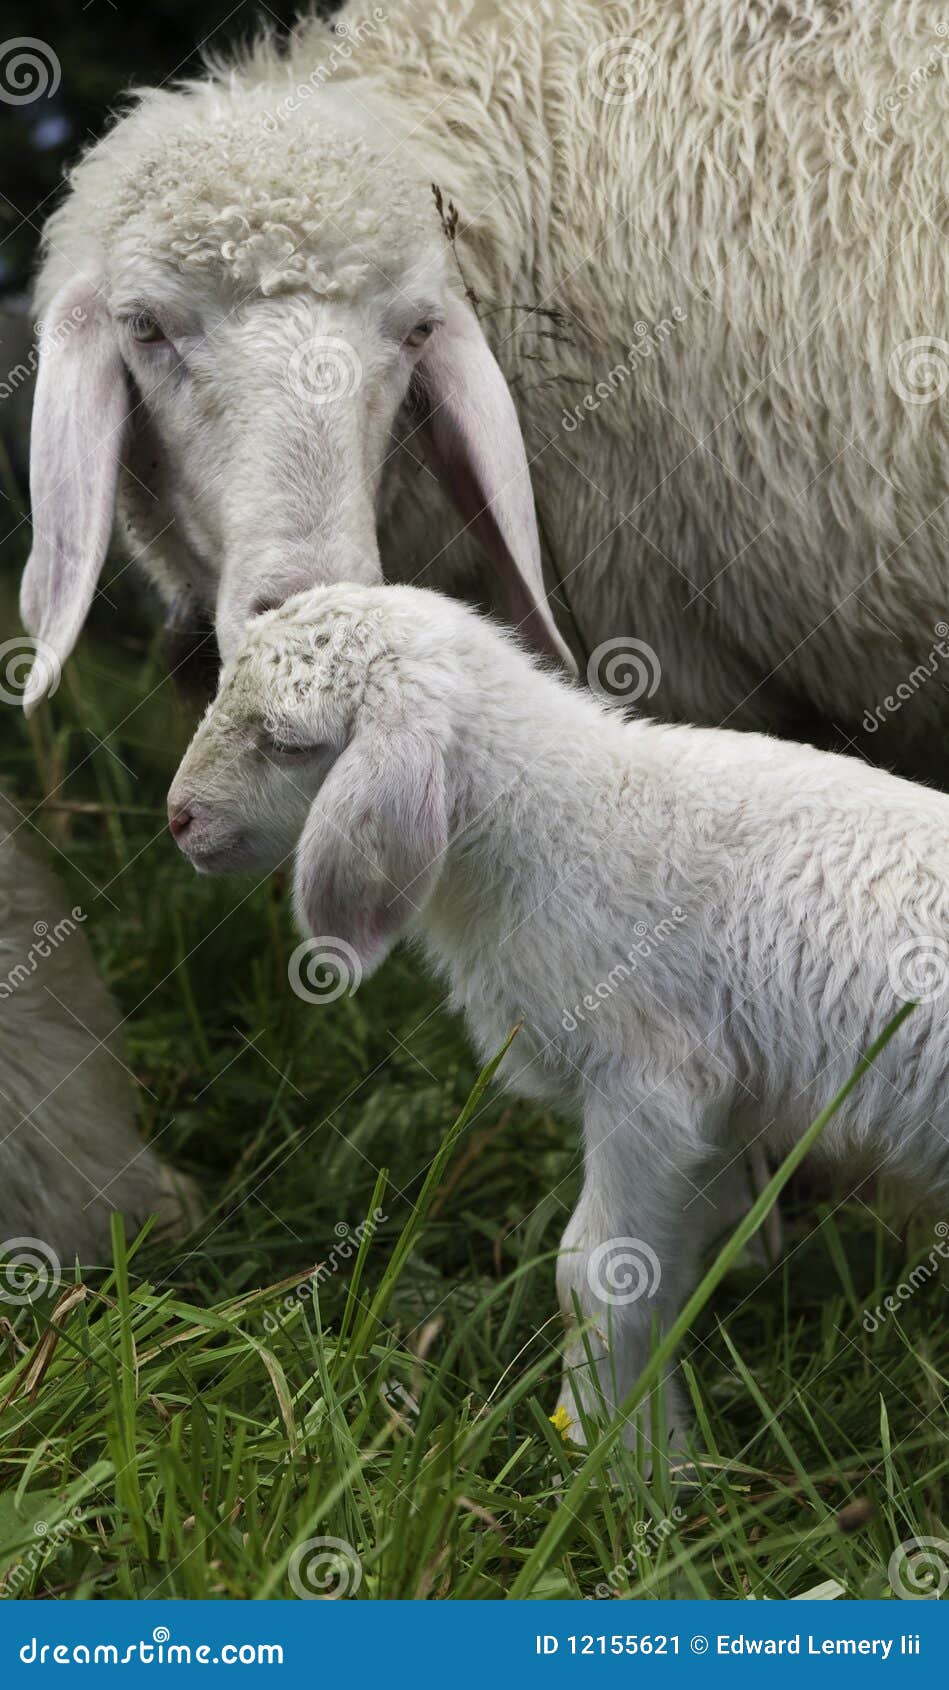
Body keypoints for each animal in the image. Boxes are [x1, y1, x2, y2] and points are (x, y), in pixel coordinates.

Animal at [165, 581, 949, 1448]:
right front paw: (647, 1437)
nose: (178, 819)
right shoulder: (716, 1105)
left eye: (287, 742)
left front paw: (614, 1456)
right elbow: (675, 1257)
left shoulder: (647, 1078)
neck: (560, 820)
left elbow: (594, 1276)